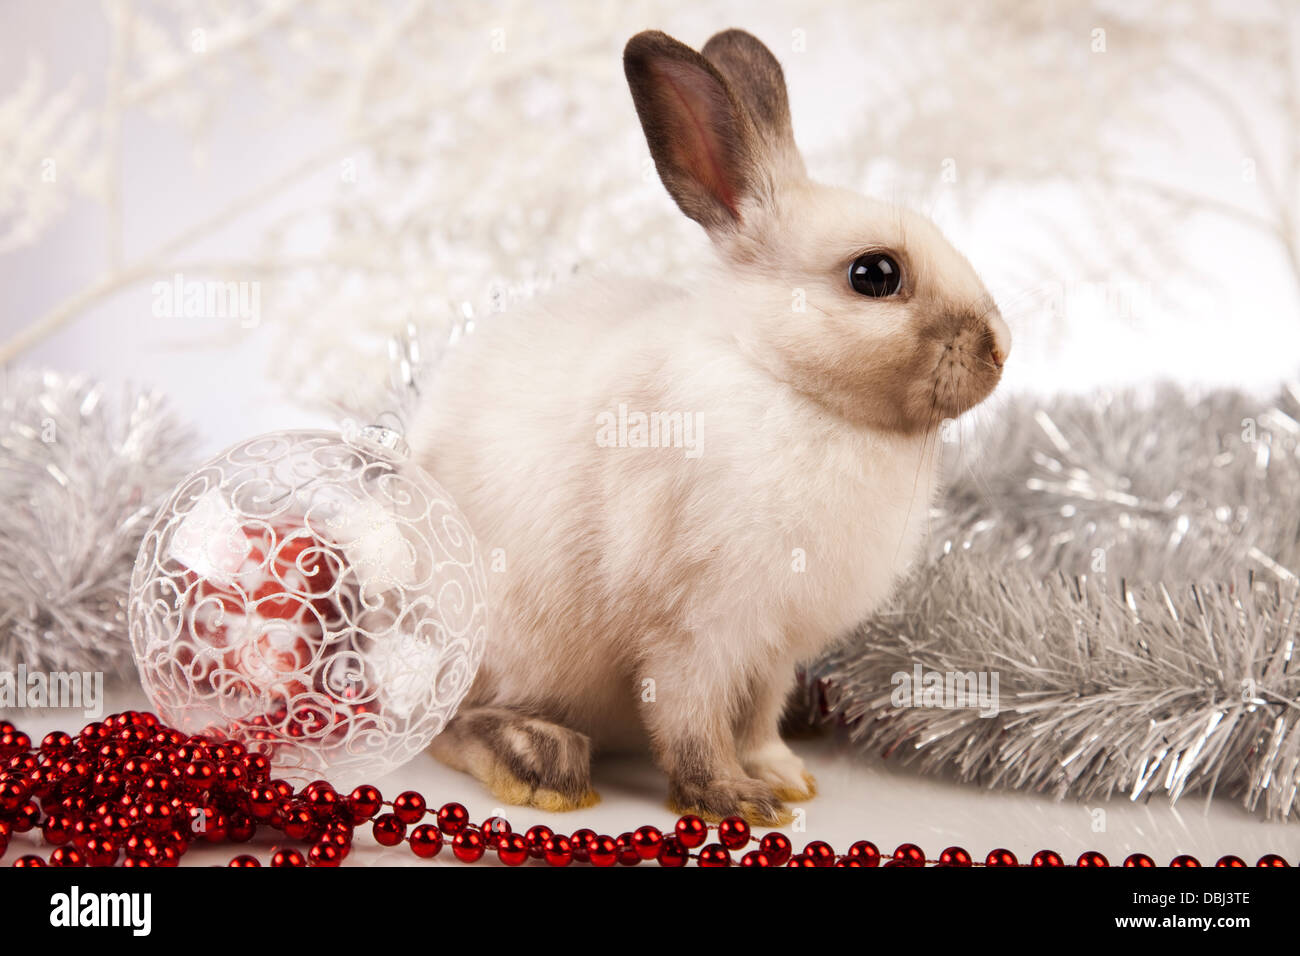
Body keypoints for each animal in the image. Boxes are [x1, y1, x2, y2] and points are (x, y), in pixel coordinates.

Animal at [408, 28, 1010, 826]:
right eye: (875, 274)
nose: (1000, 348)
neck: (781, 379)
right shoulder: (694, 629)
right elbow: (691, 719)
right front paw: (735, 800)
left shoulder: (773, 648)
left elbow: (755, 716)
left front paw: (784, 779)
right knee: (450, 723)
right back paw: (540, 763)